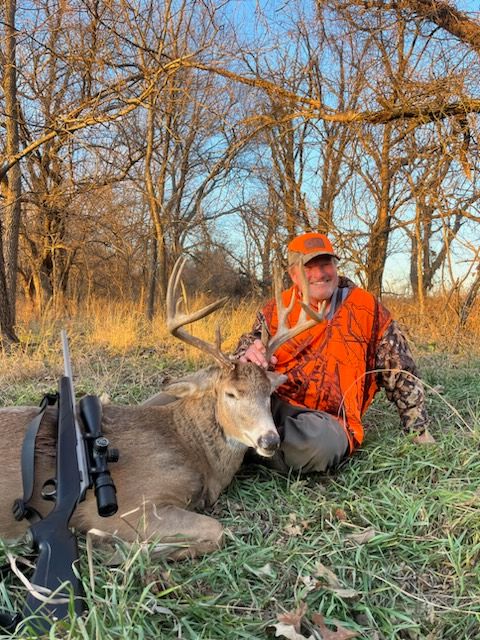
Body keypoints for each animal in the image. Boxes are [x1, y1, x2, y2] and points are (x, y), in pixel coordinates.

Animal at [0, 257, 325, 560]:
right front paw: (106, 545)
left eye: (269, 392)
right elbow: (217, 531)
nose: (269, 440)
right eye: (230, 393)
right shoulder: (127, 505)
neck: (192, 448)